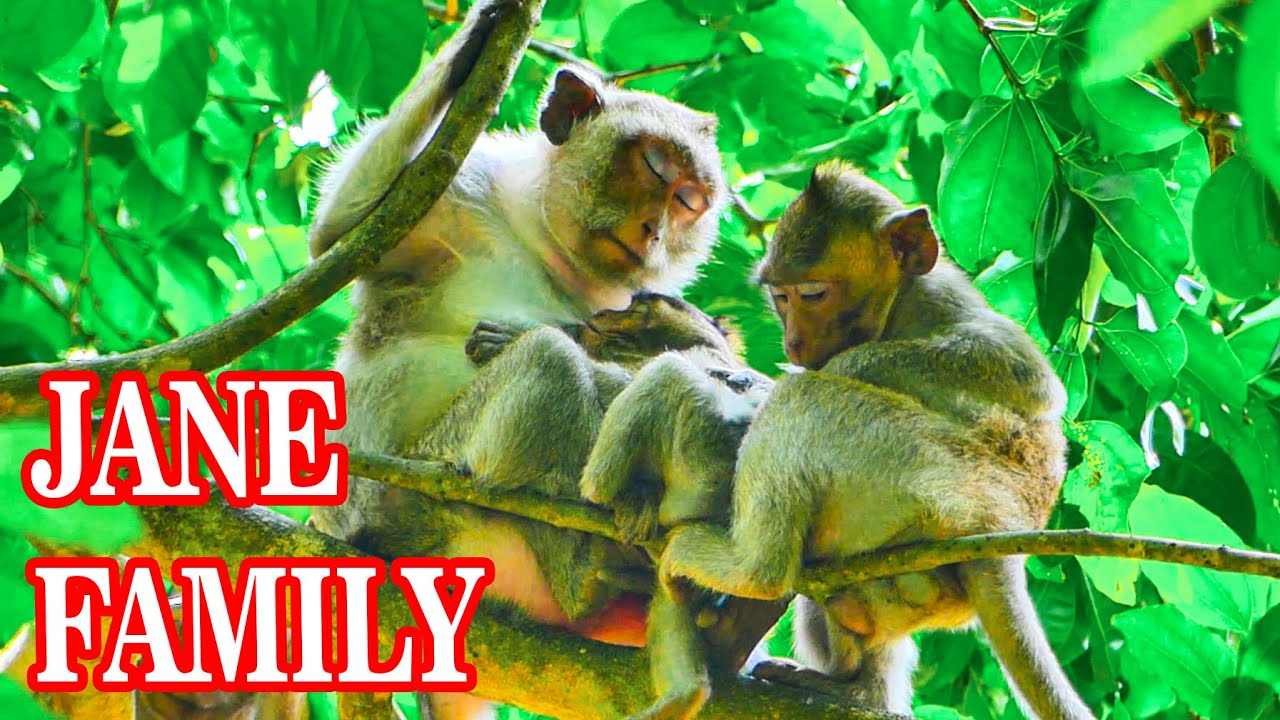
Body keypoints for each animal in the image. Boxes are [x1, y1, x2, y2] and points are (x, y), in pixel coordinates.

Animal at [654, 162, 1094, 720]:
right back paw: (851, 686)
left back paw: (751, 568)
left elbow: (1028, 379)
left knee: (805, 402)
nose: (793, 342)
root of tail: (1003, 532)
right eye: (780, 297)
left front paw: (806, 372)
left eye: (813, 294)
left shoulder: (943, 301)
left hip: (930, 476)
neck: (898, 307)